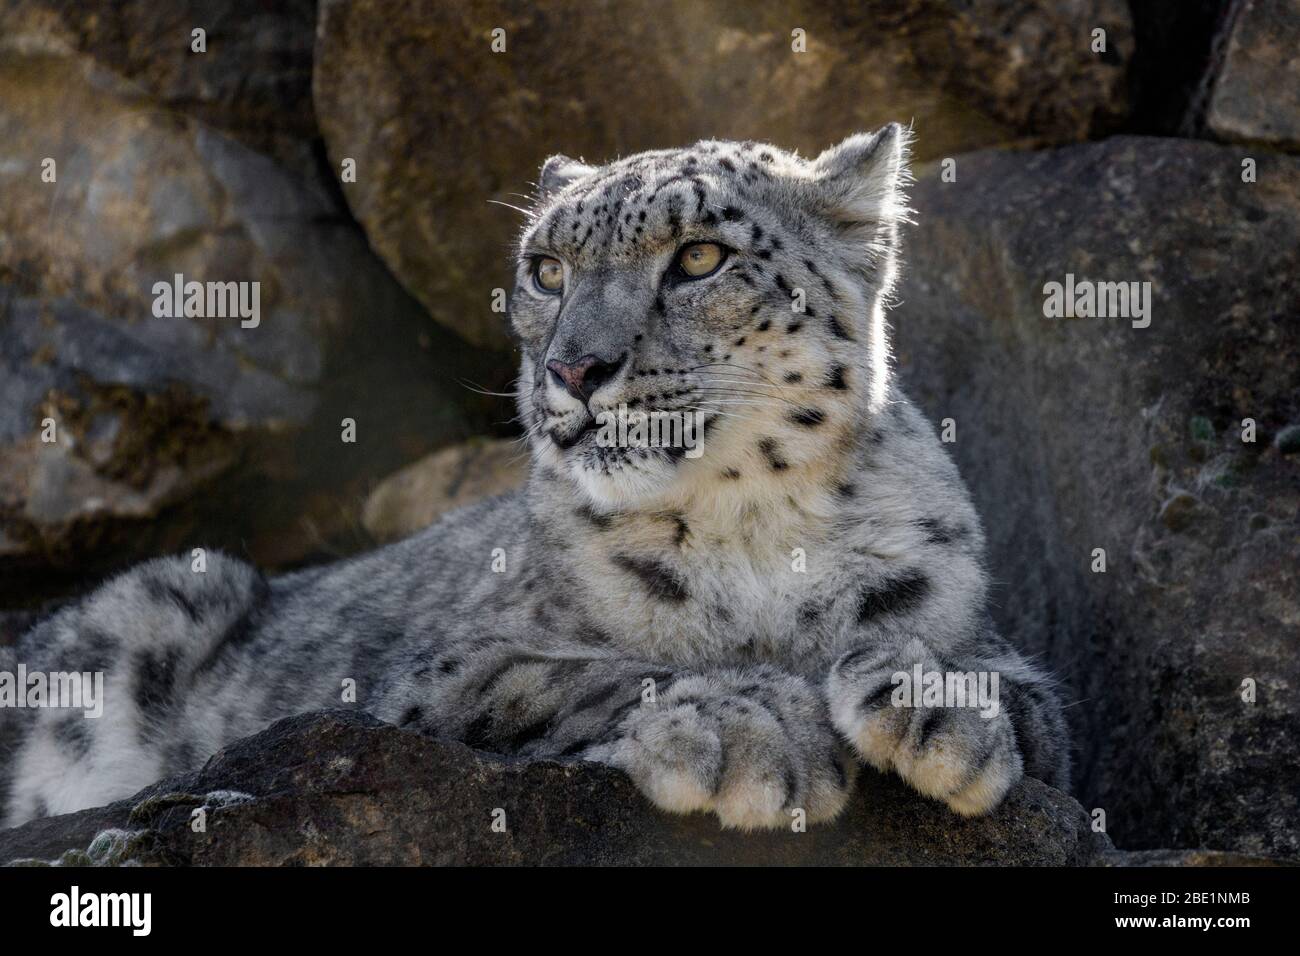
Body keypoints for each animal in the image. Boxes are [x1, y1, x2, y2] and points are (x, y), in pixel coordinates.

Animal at [0, 124, 1069, 832]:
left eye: (700, 256)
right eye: (547, 270)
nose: (575, 368)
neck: (753, 530)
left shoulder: (1023, 681)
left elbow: (1014, 686)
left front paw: (930, 704)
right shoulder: (441, 673)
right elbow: (586, 671)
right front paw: (760, 727)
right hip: (162, 596)